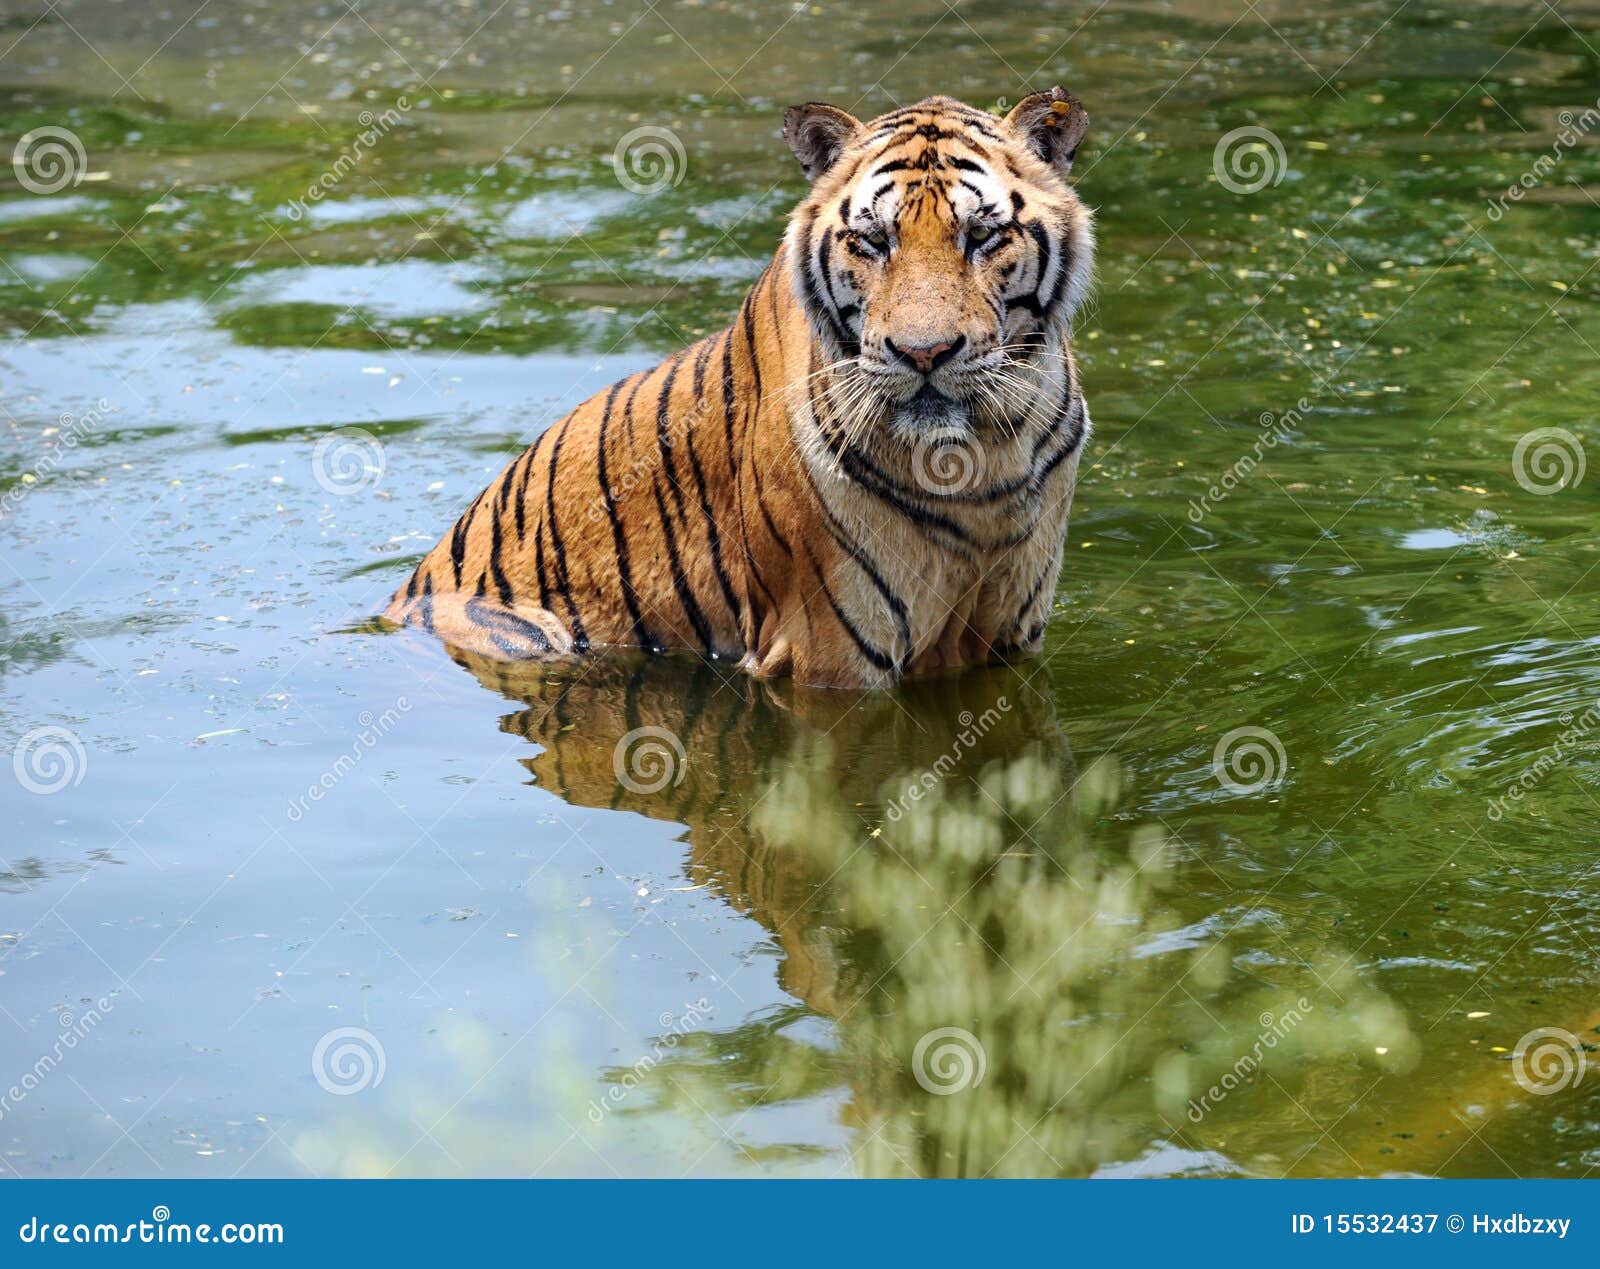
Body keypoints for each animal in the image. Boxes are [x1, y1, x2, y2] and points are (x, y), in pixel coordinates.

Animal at [383, 88, 1095, 689]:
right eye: (872, 241)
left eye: (982, 235)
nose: (924, 353)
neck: (976, 465)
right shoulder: (828, 648)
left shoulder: (1012, 636)